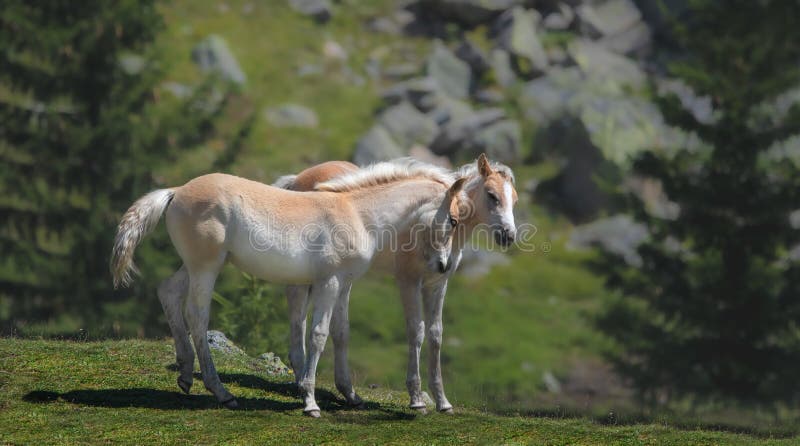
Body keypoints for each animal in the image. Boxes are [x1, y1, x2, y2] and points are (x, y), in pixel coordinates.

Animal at [110, 160, 467, 417]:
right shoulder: (328, 283)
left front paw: (350, 395)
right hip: (206, 268)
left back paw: (186, 374)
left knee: (168, 292)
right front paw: (310, 403)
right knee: (197, 317)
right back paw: (222, 393)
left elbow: (341, 332)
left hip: (198, 266)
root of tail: (177, 190)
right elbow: (318, 336)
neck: (358, 214)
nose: (443, 266)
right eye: (452, 220)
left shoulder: (343, 284)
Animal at [279, 154, 518, 413]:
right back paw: (303, 384)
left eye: (514, 199)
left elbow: (436, 334)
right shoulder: (409, 281)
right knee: (298, 317)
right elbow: (416, 331)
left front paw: (442, 401)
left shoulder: (437, 283)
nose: (509, 235)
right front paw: (417, 399)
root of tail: (298, 178)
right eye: (492, 195)